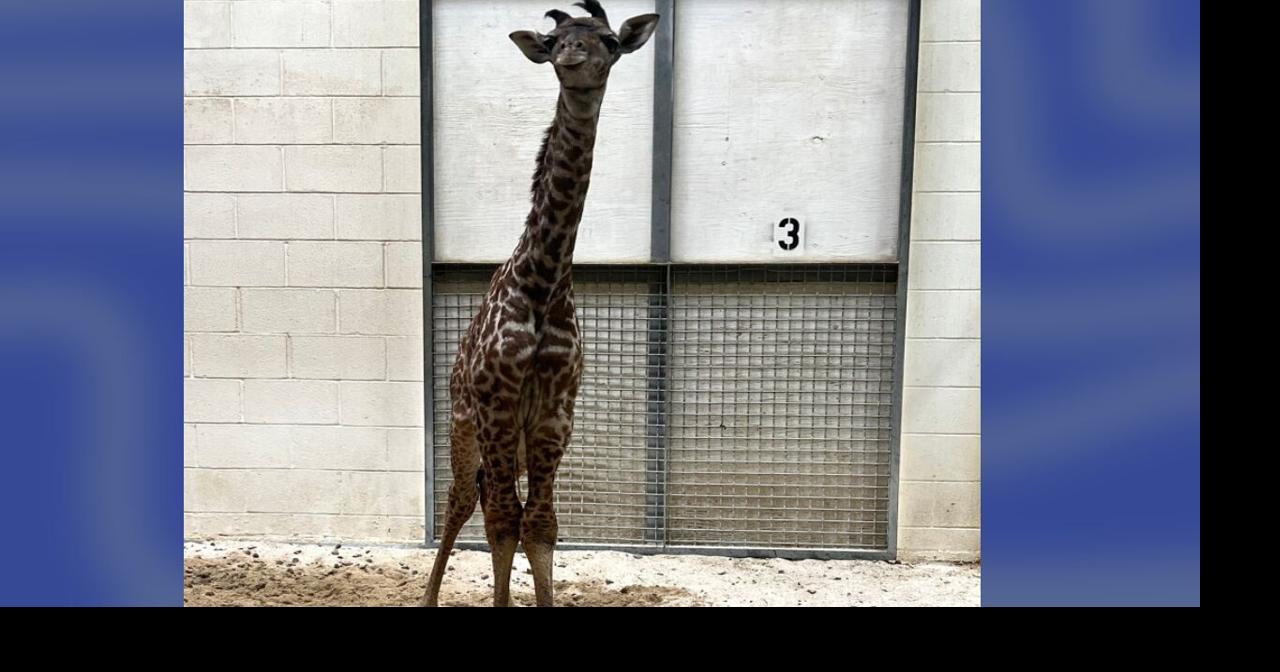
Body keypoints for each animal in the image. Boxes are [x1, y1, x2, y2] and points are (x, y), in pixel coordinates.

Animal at [420, 1, 660, 608]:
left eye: (608, 40)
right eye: (554, 41)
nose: (573, 56)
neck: (543, 282)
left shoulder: (554, 415)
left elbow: (541, 526)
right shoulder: (497, 406)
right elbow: (504, 522)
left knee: (493, 502)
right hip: (466, 432)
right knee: (463, 501)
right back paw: (429, 595)